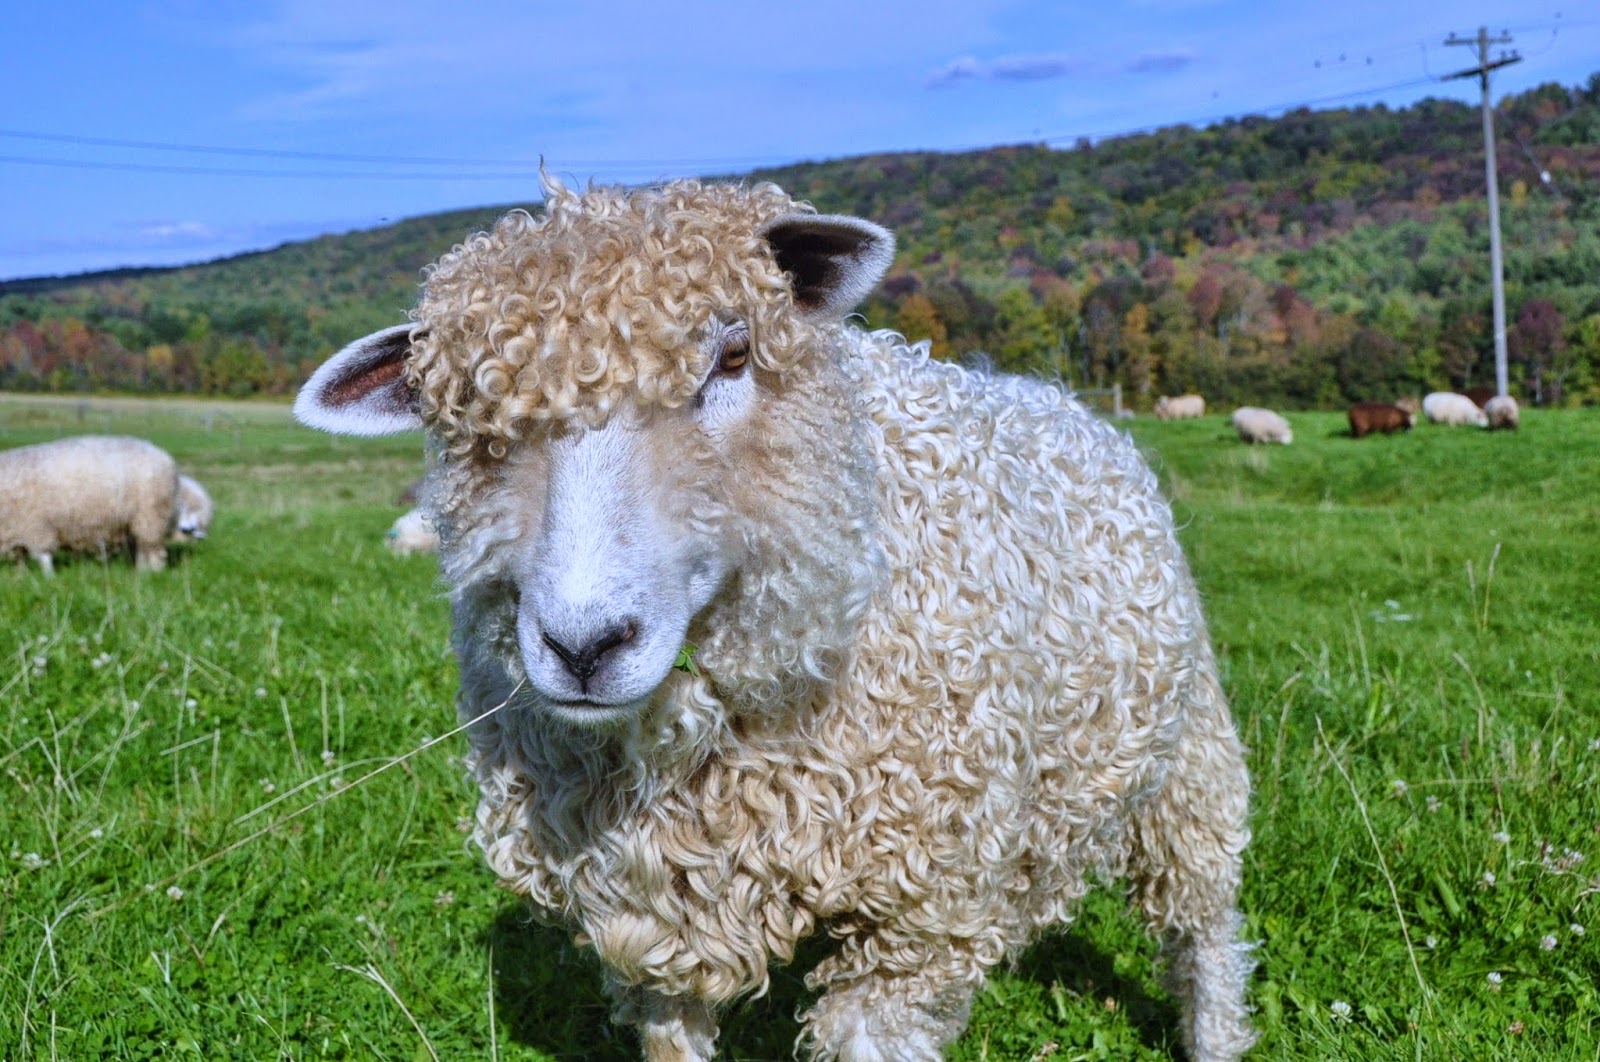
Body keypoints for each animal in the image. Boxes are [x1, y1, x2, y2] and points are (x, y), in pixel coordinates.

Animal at [0, 435, 178, 575]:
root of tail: (165, 457)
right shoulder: (17, 530)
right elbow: (20, 556)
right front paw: (21, 575)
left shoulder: (37, 526)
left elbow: (44, 555)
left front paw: (48, 577)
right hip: (136, 521)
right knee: (142, 547)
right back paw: (141, 571)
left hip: (152, 516)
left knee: (154, 550)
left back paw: (153, 573)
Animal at [293, 178, 1256, 1062]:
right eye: (466, 419)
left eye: (732, 358)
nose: (585, 645)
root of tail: (1053, 394)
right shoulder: (651, 910)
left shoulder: (917, 921)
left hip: (1189, 756)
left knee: (1204, 921)